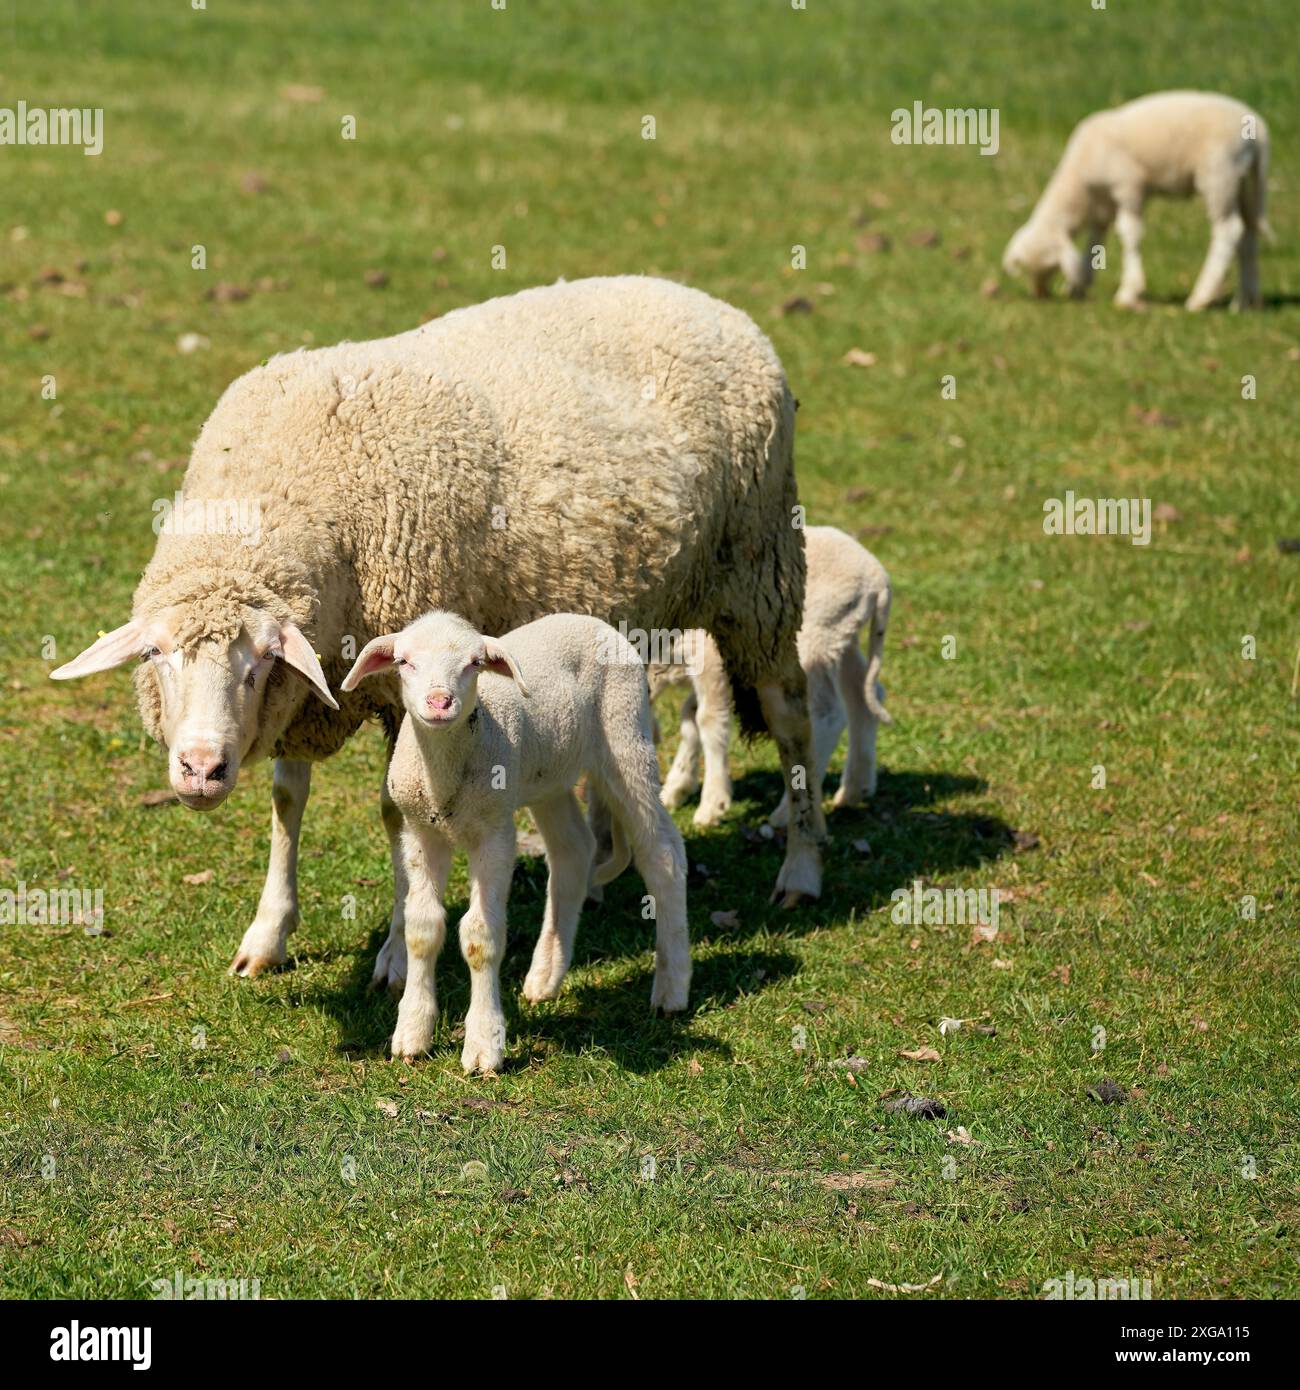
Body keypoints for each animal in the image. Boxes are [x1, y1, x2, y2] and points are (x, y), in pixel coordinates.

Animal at [49, 275, 825, 988]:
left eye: (258, 664)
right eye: (157, 655)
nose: (202, 769)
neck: (285, 481)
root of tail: (710, 302)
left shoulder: (394, 687)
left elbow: (396, 817)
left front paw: (395, 954)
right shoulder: (313, 686)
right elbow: (287, 802)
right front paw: (267, 934)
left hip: (760, 574)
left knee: (793, 720)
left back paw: (801, 867)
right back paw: (607, 865)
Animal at [340, 610, 690, 1072]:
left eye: (473, 663)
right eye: (404, 661)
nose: (439, 702)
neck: (443, 777)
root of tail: (590, 620)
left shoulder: (494, 833)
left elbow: (480, 936)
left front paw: (484, 1045)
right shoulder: (420, 833)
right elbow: (422, 928)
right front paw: (412, 1032)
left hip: (626, 737)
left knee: (662, 853)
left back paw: (672, 988)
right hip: (550, 775)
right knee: (573, 851)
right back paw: (545, 978)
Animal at [651, 526, 891, 826]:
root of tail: (877, 577)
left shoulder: (710, 657)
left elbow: (707, 720)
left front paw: (712, 803)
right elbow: (689, 717)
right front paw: (677, 786)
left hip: (813, 639)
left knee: (827, 714)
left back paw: (787, 811)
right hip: (842, 635)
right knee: (863, 695)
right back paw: (855, 789)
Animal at [1002, 91, 1271, 311]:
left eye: (1050, 266)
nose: (1040, 294)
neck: (1079, 182)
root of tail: (1260, 131)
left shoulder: (1128, 187)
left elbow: (1129, 233)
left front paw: (1129, 292)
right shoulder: (1104, 202)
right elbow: (1096, 237)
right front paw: (1079, 285)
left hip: (1218, 174)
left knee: (1229, 229)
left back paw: (1201, 297)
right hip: (1242, 182)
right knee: (1248, 233)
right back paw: (1245, 301)